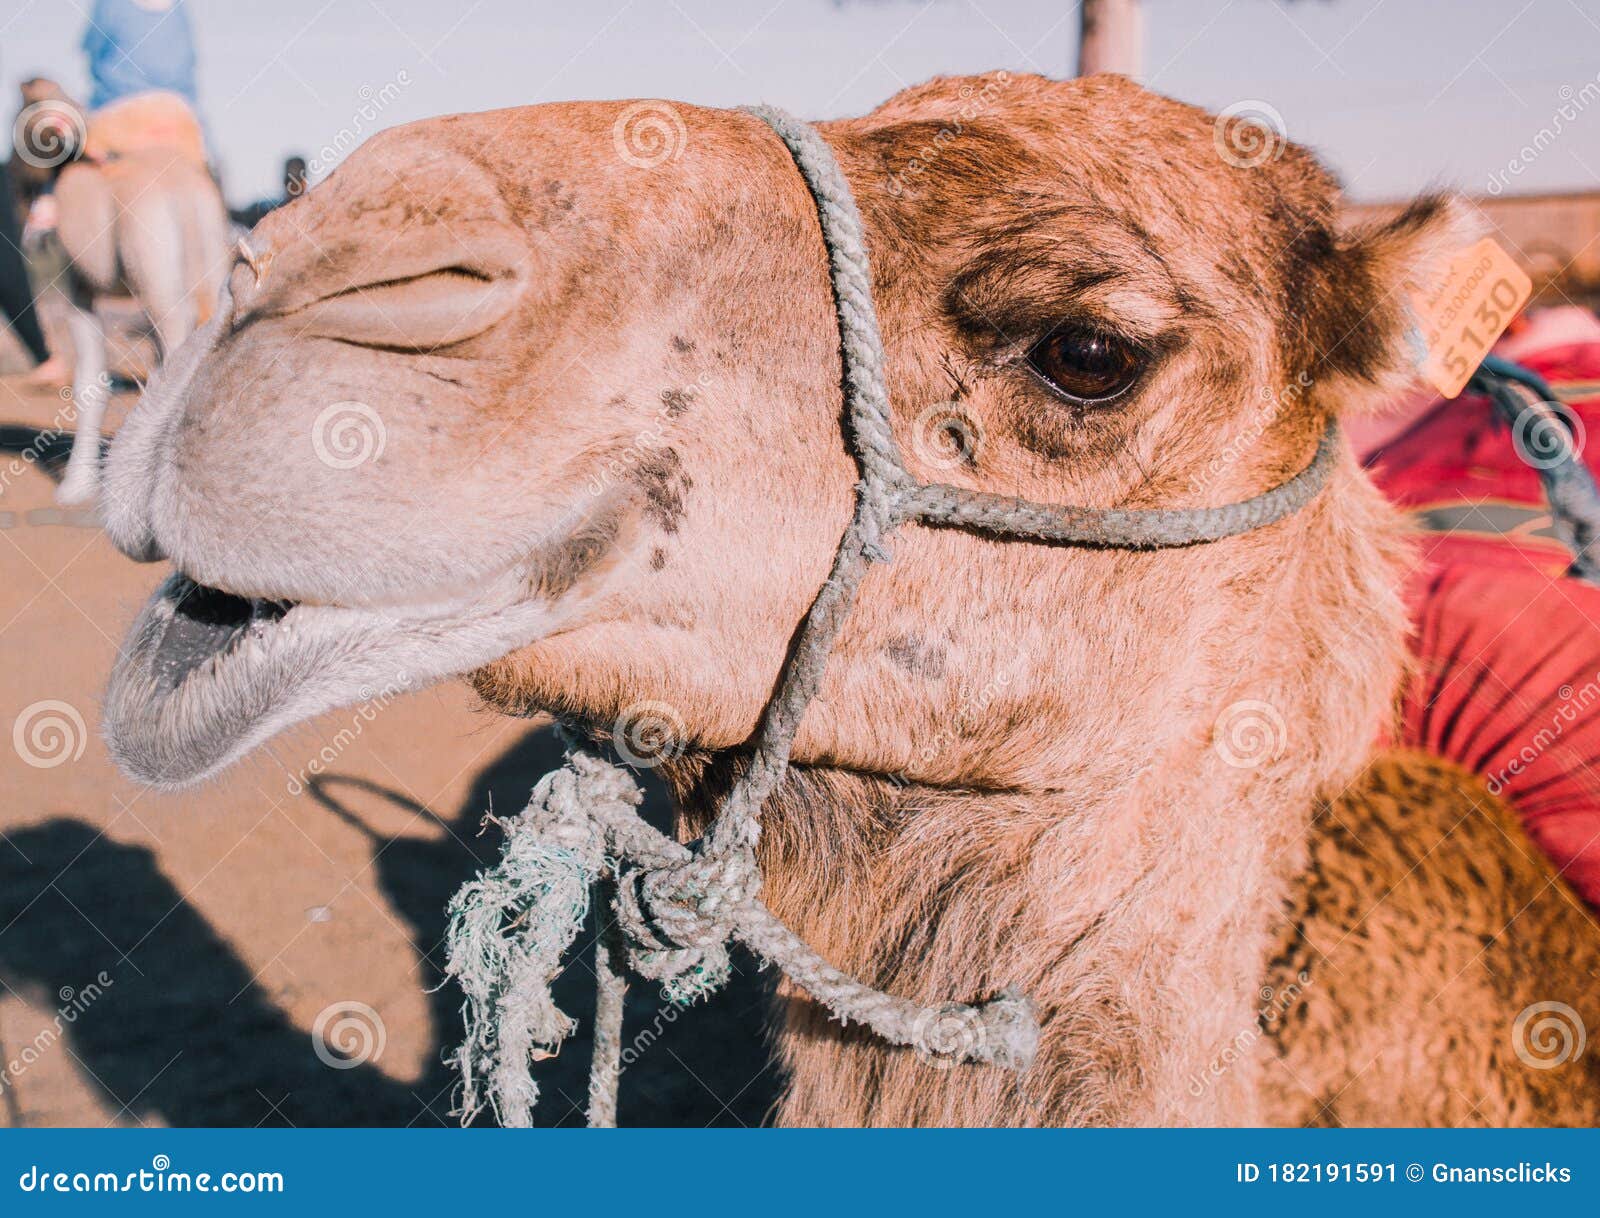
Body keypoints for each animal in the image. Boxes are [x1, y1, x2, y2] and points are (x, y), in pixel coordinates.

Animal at [18, 88, 231, 505]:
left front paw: (75, 486)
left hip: (153, 272)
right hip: (207, 263)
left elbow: (90, 382)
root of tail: (186, 195)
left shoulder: (77, 288)